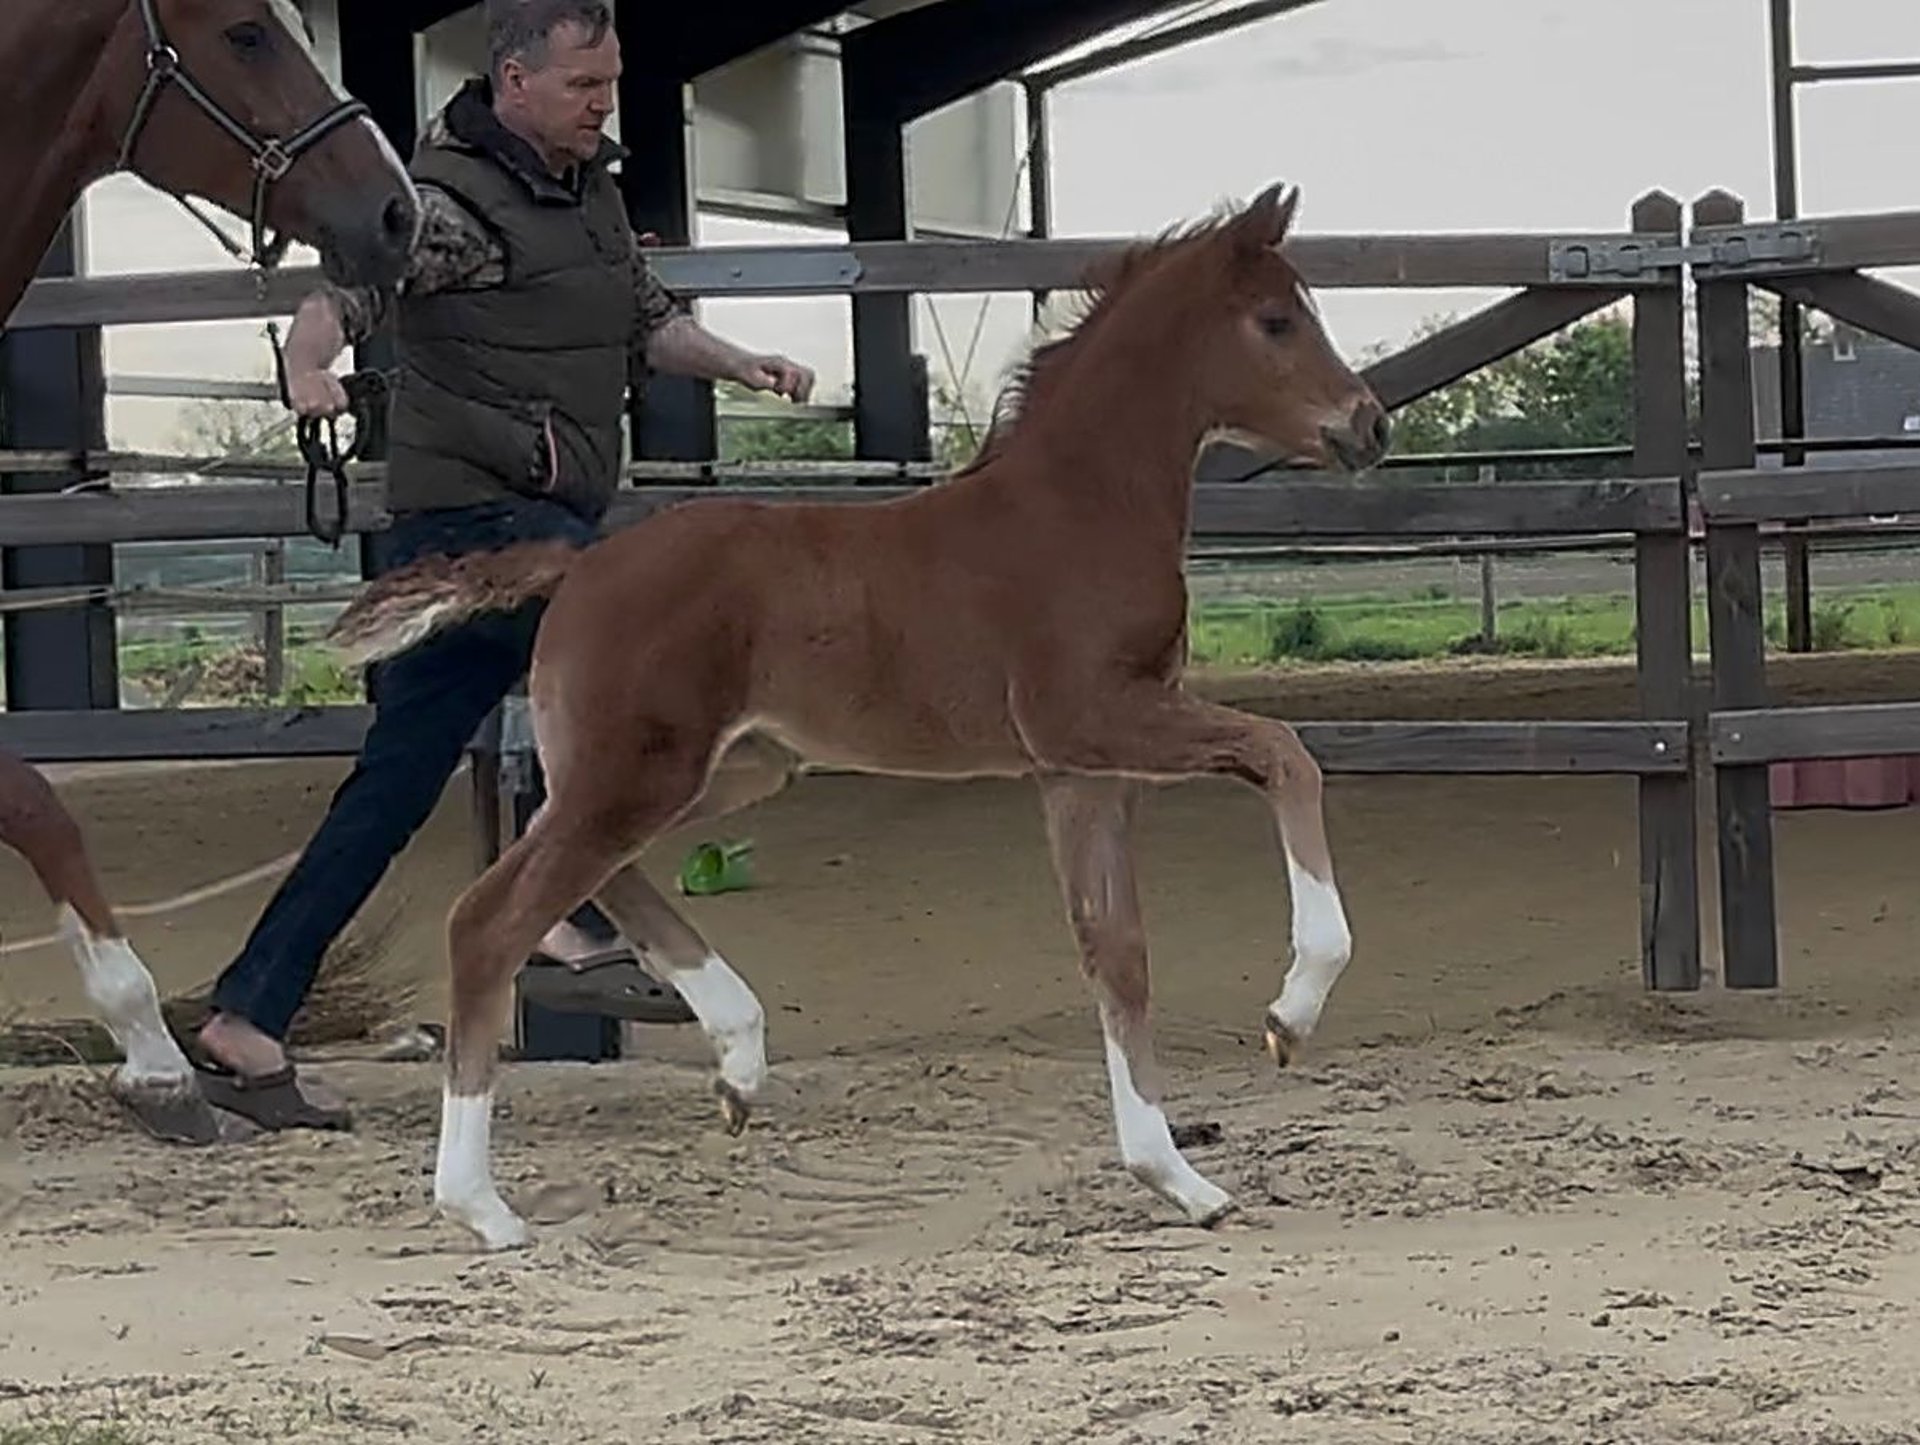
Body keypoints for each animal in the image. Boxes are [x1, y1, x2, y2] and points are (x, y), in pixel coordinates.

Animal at [326, 182, 1391, 1250]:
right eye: (1277, 320)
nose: (1371, 425)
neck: (1079, 508)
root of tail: (576, 567)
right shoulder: (1099, 714)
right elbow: (1287, 755)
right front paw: (1292, 1011)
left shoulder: (1079, 768)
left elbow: (1117, 952)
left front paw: (1176, 1176)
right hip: (643, 772)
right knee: (489, 919)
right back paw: (480, 1202)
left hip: (722, 768)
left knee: (593, 876)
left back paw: (739, 1057)